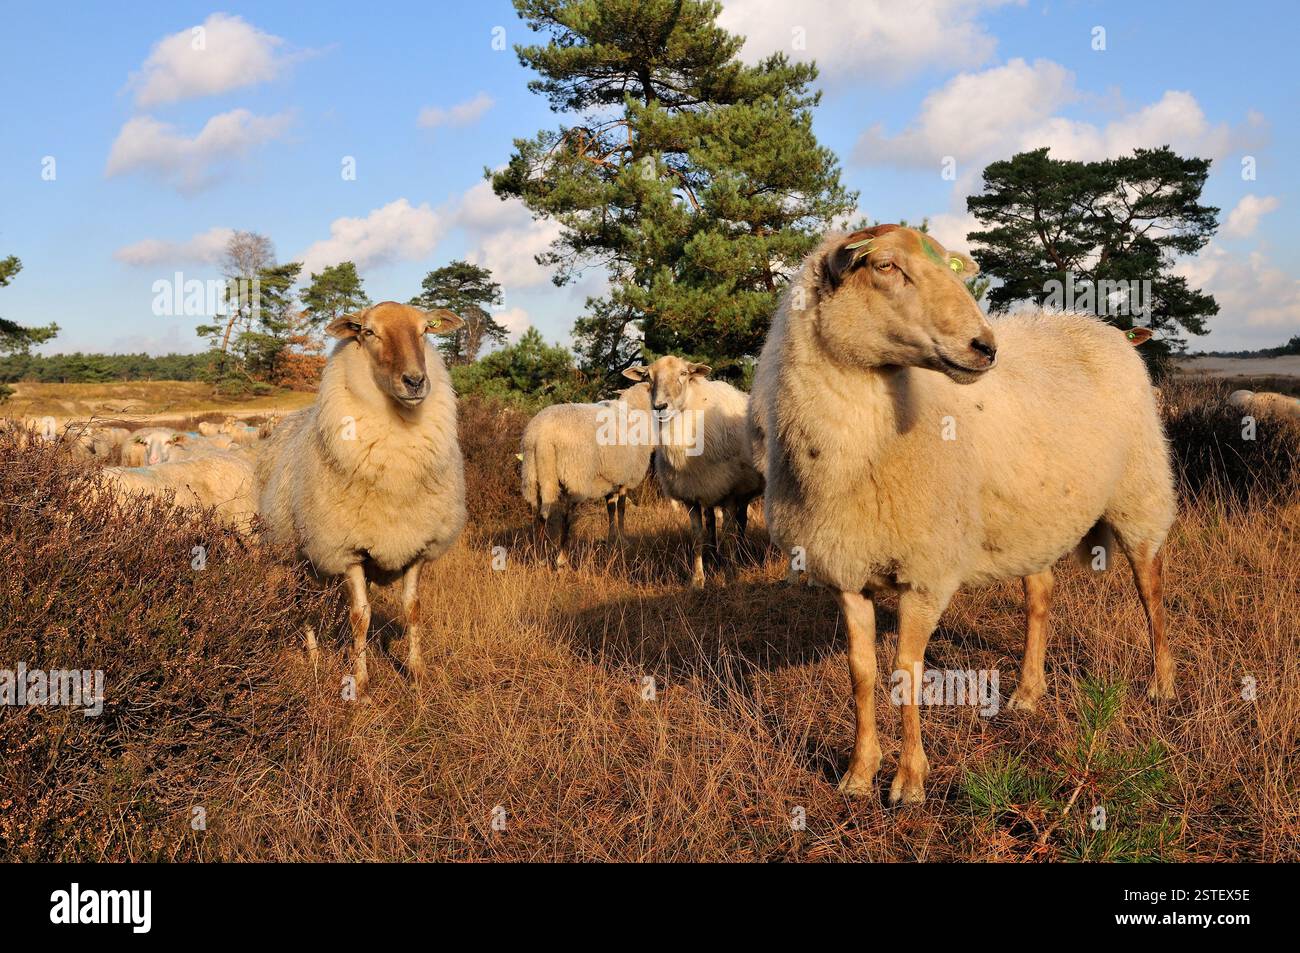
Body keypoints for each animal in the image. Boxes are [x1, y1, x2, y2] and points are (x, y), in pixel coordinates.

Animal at [257, 301, 467, 693]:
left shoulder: (418, 544)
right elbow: (360, 616)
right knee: (304, 603)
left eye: (425, 330)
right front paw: (360, 682)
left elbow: (412, 609)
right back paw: (314, 656)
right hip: (298, 553)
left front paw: (417, 673)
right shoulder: (346, 549)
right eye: (368, 332)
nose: (415, 381)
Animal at [519, 383, 653, 568]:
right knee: (566, 514)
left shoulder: (610, 479)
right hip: (575, 474)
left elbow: (611, 509)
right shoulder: (624, 477)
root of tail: (542, 436)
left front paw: (612, 540)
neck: (635, 409)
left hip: (534, 472)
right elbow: (621, 509)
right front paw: (623, 540)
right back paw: (562, 559)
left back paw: (540, 557)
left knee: (540, 513)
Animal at [623, 356, 764, 589]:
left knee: (740, 522)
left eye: (683, 373)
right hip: (711, 488)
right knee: (716, 523)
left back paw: (740, 555)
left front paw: (730, 575)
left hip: (740, 488)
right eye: (648, 377)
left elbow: (728, 534)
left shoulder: (729, 493)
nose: (660, 407)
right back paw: (718, 557)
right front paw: (698, 579)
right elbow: (698, 535)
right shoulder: (691, 496)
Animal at [761, 224, 1176, 804]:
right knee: (1040, 596)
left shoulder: (926, 572)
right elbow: (861, 672)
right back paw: (1027, 693)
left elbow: (907, 671)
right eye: (885, 266)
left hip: (1140, 493)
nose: (986, 347)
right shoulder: (846, 570)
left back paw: (1161, 684)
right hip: (1033, 519)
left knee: (1151, 593)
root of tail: (1103, 327)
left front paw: (909, 782)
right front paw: (859, 774)